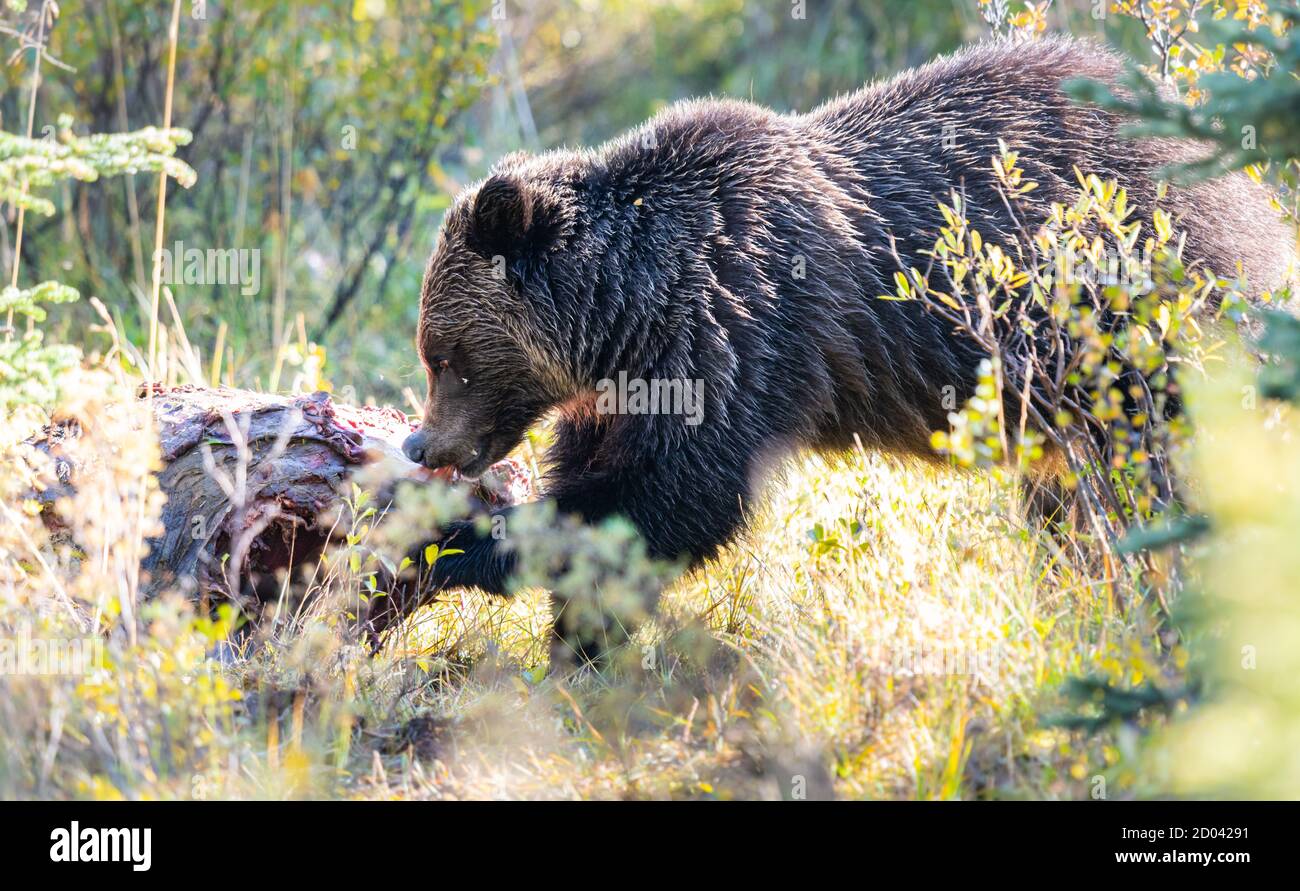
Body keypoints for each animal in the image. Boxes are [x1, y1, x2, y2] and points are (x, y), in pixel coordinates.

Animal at [388, 36, 1293, 663]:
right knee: (1069, 495)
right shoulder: (627, 388)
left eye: (445, 354)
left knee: (1160, 467)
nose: (422, 442)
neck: (632, 313)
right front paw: (577, 644)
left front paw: (445, 544)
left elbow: (671, 500)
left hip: (1133, 313)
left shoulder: (740, 332)